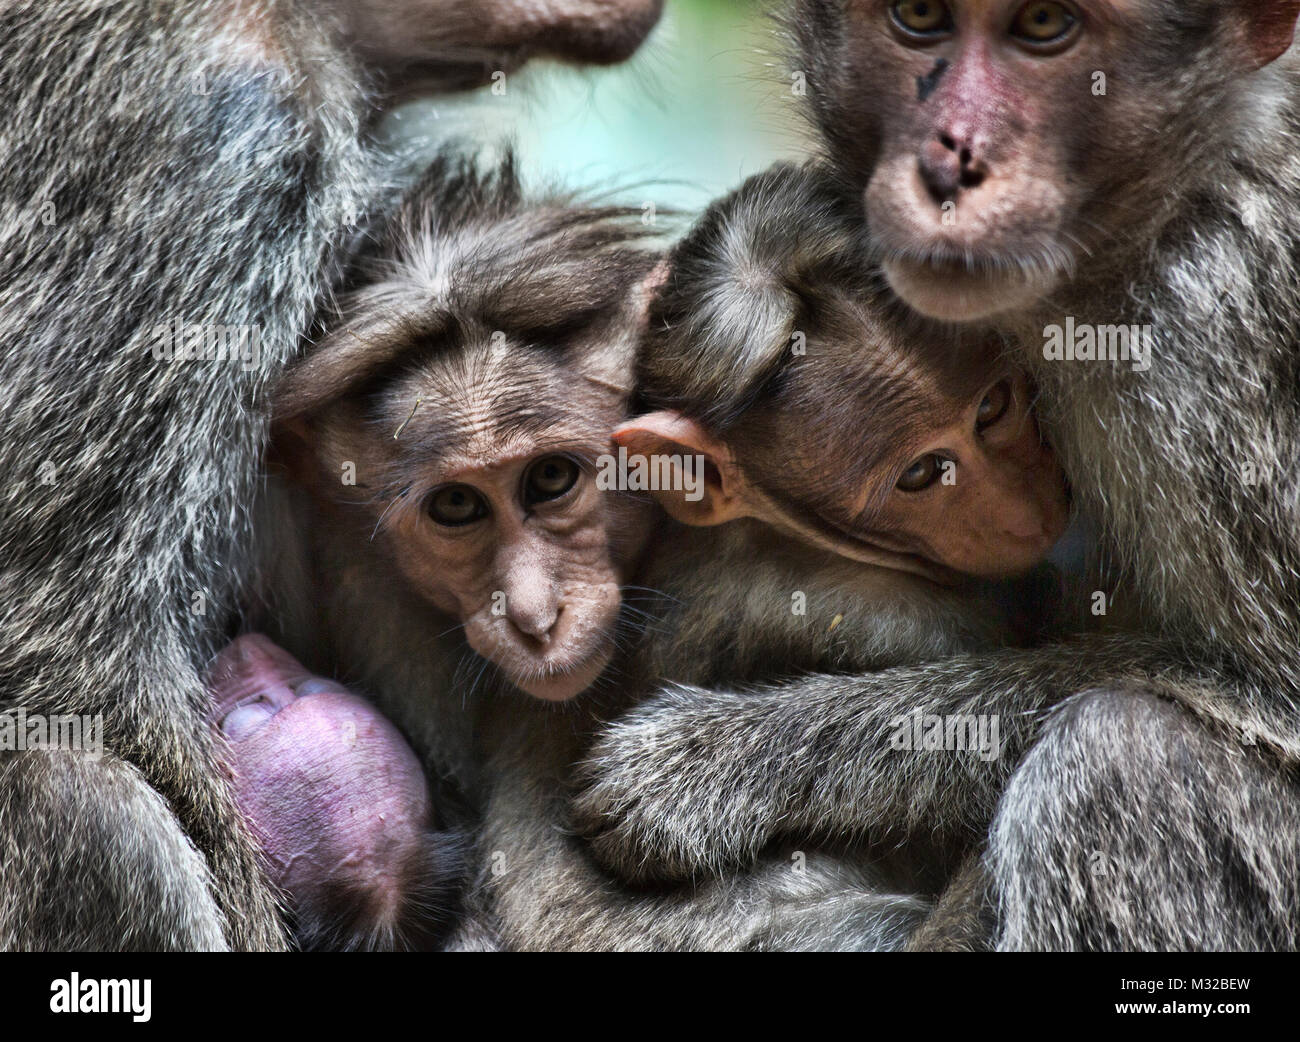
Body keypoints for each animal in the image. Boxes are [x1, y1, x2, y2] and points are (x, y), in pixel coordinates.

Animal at [571, 0, 1300, 950]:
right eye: (919, 20)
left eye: (1044, 29)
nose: (950, 160)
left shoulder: (1211, 338)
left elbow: (1264, 699)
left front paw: (718, 762)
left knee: (1119, 758)